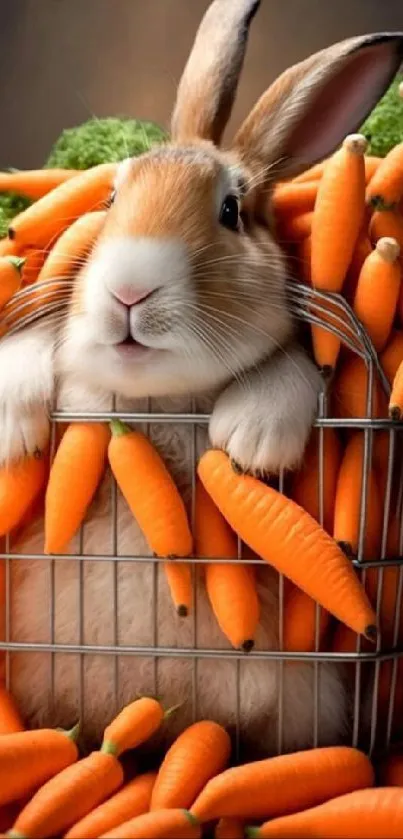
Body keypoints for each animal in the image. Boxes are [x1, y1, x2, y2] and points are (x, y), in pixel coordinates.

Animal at [0, 0, 402, 755]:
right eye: (112, 196)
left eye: (230, 211)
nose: (129, 291)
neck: (154, 401)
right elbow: (31, 346)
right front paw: (16, 430)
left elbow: (295, 368)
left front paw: (250, 439)